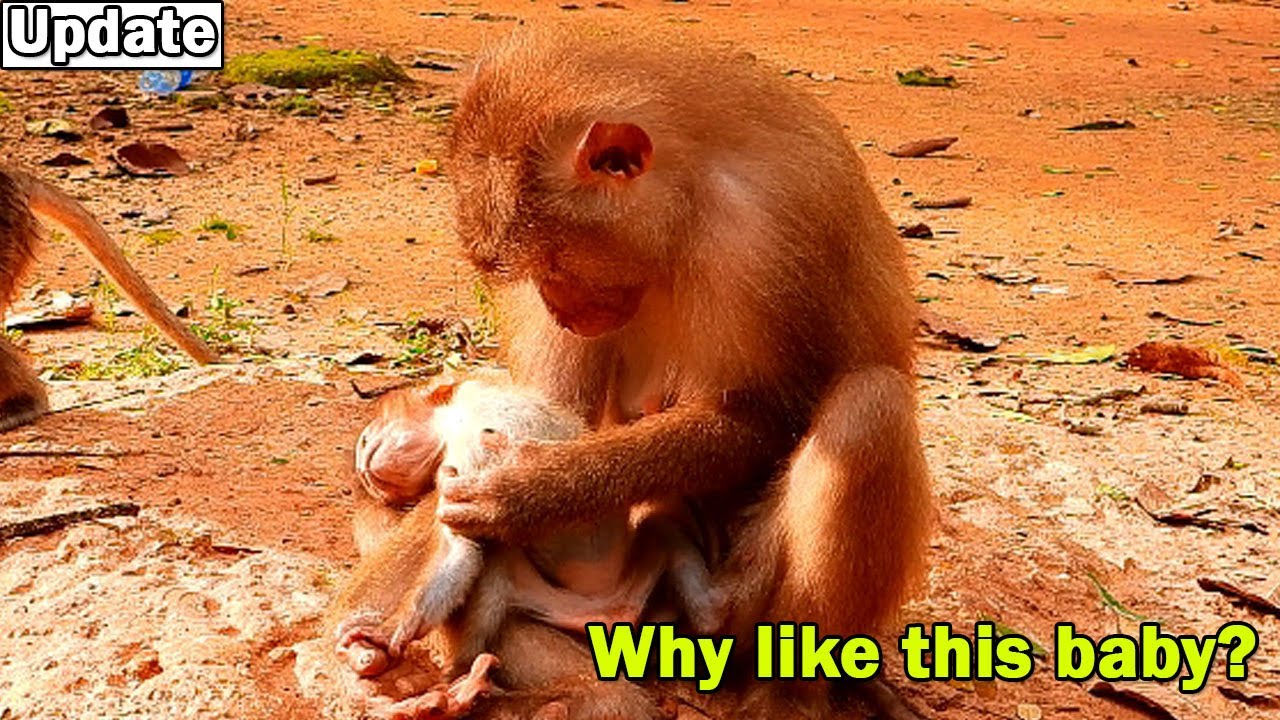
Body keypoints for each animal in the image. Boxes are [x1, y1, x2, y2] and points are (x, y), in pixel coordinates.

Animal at [337, 378, 724, 715]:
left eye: (372, 434)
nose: (361, 455)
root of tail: (612, 613)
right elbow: (461, 543)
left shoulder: (473, 432)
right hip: (564, 606)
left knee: (659, 529)